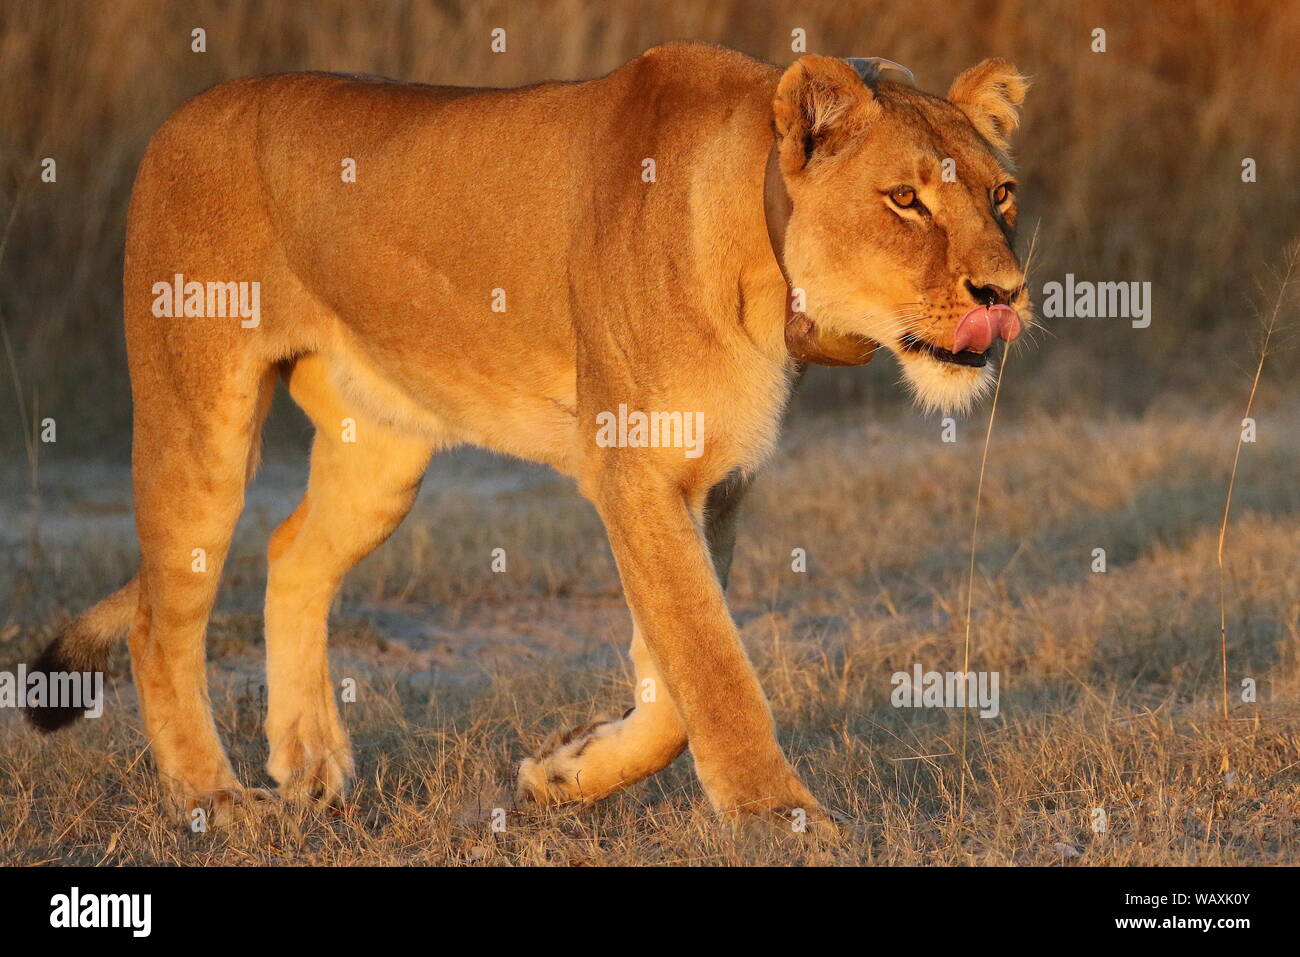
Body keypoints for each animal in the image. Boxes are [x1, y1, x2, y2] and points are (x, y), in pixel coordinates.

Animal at [24, 43, 1028, 830]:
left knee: (290, 553)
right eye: (905, 200)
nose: (1007, 293)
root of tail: (177, 118)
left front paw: (565, 771)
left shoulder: (715, 481)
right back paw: (216, 799)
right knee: (160, 620)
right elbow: (713, 663)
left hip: (384, 451)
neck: (764, 257)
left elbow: (673, 675)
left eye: (1003, 196)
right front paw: (780, 818)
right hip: (200, 416)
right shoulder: (634, 468)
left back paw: (309, 761)